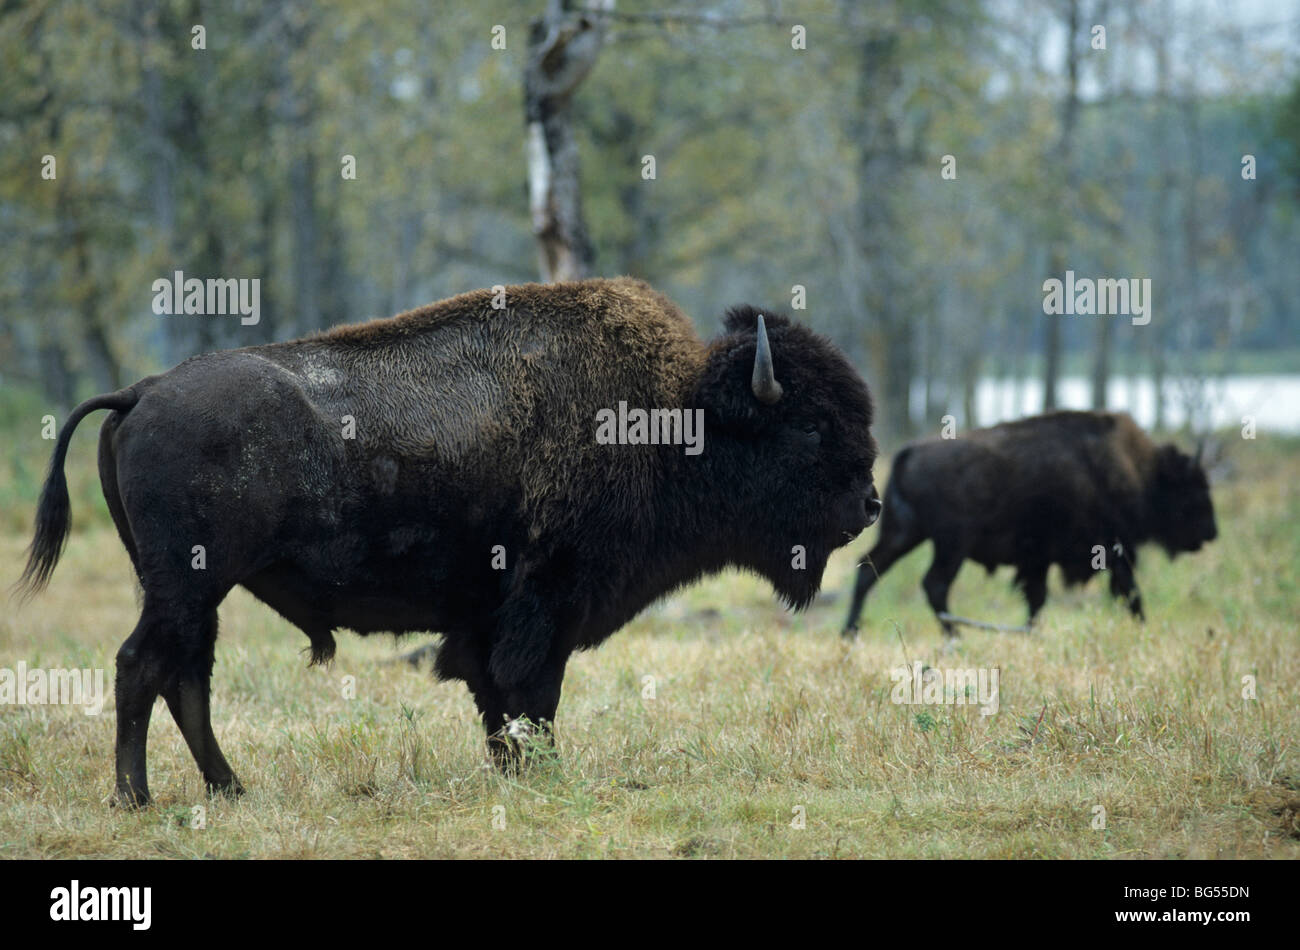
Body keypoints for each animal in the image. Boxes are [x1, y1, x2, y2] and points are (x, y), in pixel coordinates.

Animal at [16, 277, 880, 806]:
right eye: (811, 425)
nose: (869, 504)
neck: (673, 418)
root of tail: (141, 391)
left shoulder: (492, 617)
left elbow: (498, 696)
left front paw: (513, 772)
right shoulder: (544, 605)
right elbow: (531, 693)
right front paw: (540, 774)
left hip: (195, 589)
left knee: (184, 674)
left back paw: (228, 789)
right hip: (188, 584)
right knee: (143, 666)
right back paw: (137, 797)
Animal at [842, 410, 1217, 638]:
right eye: (1193, 490)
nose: (1211, 532)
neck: (1139, 473)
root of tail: (909, 452)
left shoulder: (1038, 560)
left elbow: (1037, 599)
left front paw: (1030, 633)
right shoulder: (1113, 551)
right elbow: (1131, 592)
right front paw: (1143, 627)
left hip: (905, 534)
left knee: (868, 569)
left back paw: (850, 633)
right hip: (950, 544)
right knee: (933, 584)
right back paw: (955, 635)